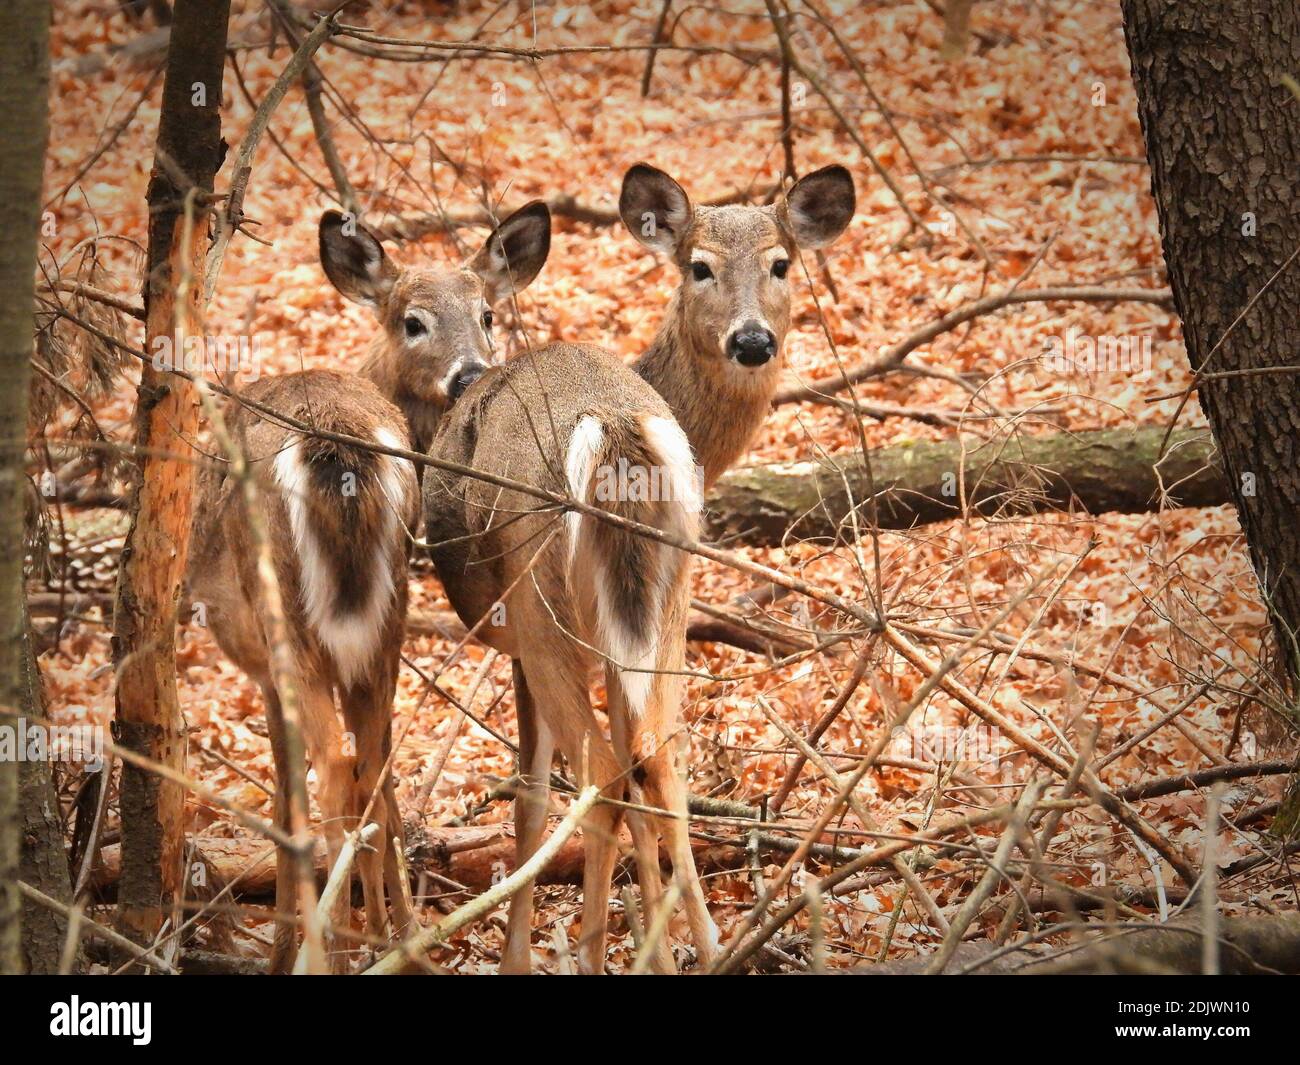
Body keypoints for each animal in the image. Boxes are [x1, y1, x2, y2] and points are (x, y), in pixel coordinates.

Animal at [188, 201, 552, 973]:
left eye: (487, 314)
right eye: (413, 320)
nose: (470, 373)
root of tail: (338, 446)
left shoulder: (261, 665)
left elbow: (286, 792)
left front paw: (290, 943)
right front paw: (380, 928)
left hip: (288, 618)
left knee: (333, 766)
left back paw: (326, 948)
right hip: (388, 617)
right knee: (378, 763)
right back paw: (405, 940)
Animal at [421, 162, 854, 974]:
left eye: (781, 263)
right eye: (699, 266)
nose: (753, 340)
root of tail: (615, 427)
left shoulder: (528, 636)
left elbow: (534, 795)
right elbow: (638, 772)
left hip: (543, 601)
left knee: (600, 774)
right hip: (669, 590)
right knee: (658, 761)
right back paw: (708, 946)